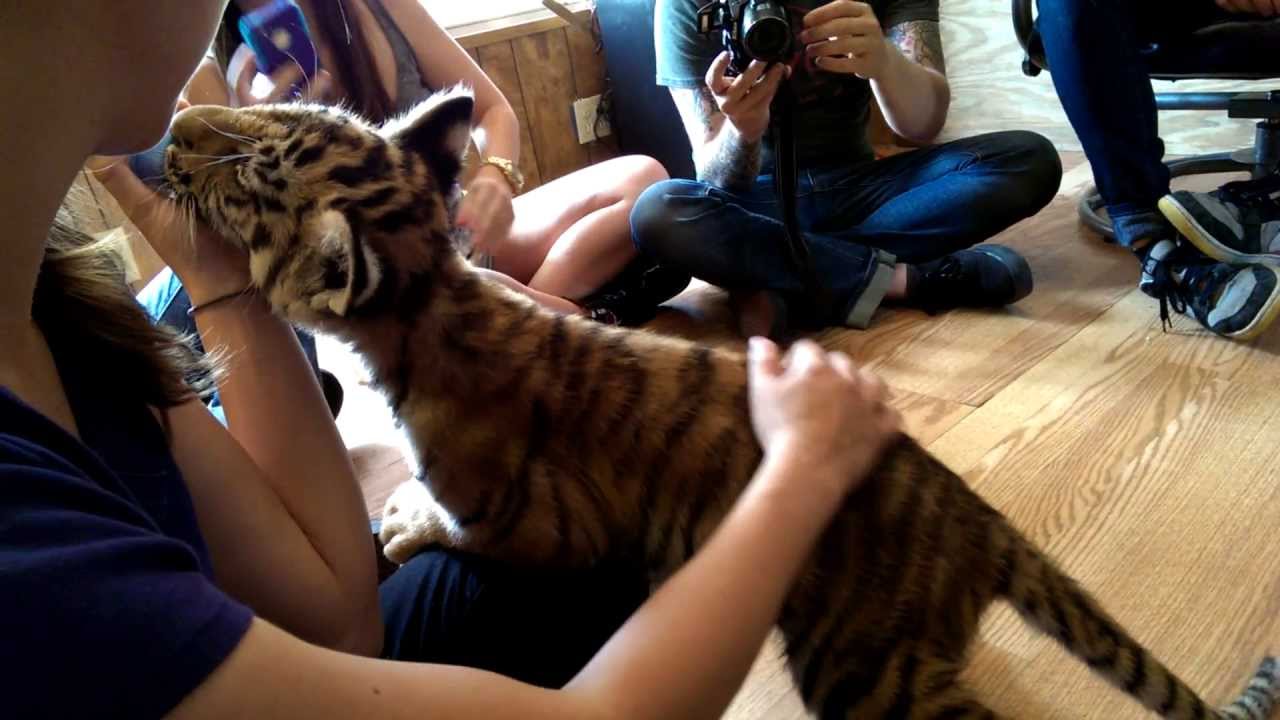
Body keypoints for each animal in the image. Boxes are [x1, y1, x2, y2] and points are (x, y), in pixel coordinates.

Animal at [162, 88, 1278, 720]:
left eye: (245, 174)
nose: (174, 129)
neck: (434, 293)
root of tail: (972, 515)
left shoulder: (539, 528)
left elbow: (451, 522)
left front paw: (399, 520)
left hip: (860, 661)